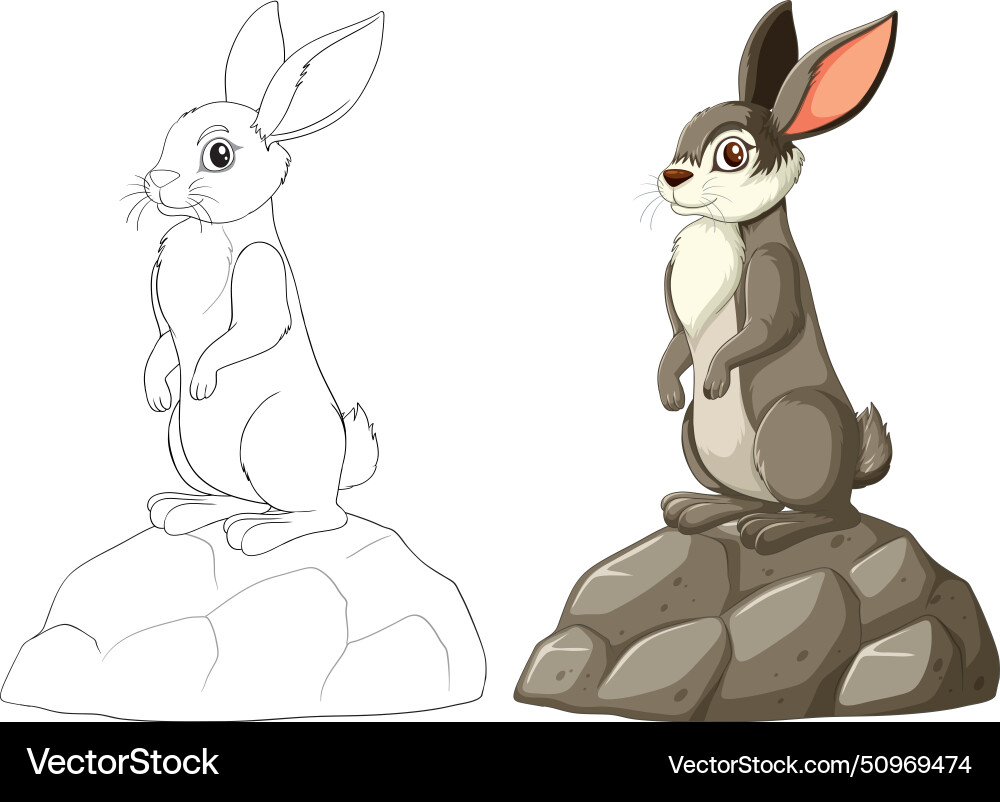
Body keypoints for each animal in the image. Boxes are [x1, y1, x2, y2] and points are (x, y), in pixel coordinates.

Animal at [139, 3, 383, 556]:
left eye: (219, 155)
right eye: (169, 135)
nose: (155, 181)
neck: (211, 230)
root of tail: (339, 472)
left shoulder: (261, 269)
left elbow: (251, 332)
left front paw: (200, 381)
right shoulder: (167, 327)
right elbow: (163, 343)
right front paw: (159, 392)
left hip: (271, 440)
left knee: (324, 516)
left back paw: (254, 534)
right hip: (189, 451)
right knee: (236, 497)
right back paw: (179, 511)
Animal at [655, 1, 895, 555]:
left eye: (732, 153)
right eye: (681, 137)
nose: (672, 178)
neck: (721, 227)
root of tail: (850, 474)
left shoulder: (771, 268)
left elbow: (767, 327)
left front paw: (715, 378)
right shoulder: (678, 323)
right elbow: (677, 341)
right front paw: (669, 389)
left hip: (792, 421)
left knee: (833, 514)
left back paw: (774, 531)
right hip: (696, 438)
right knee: (749, 499)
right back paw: (696, 508)